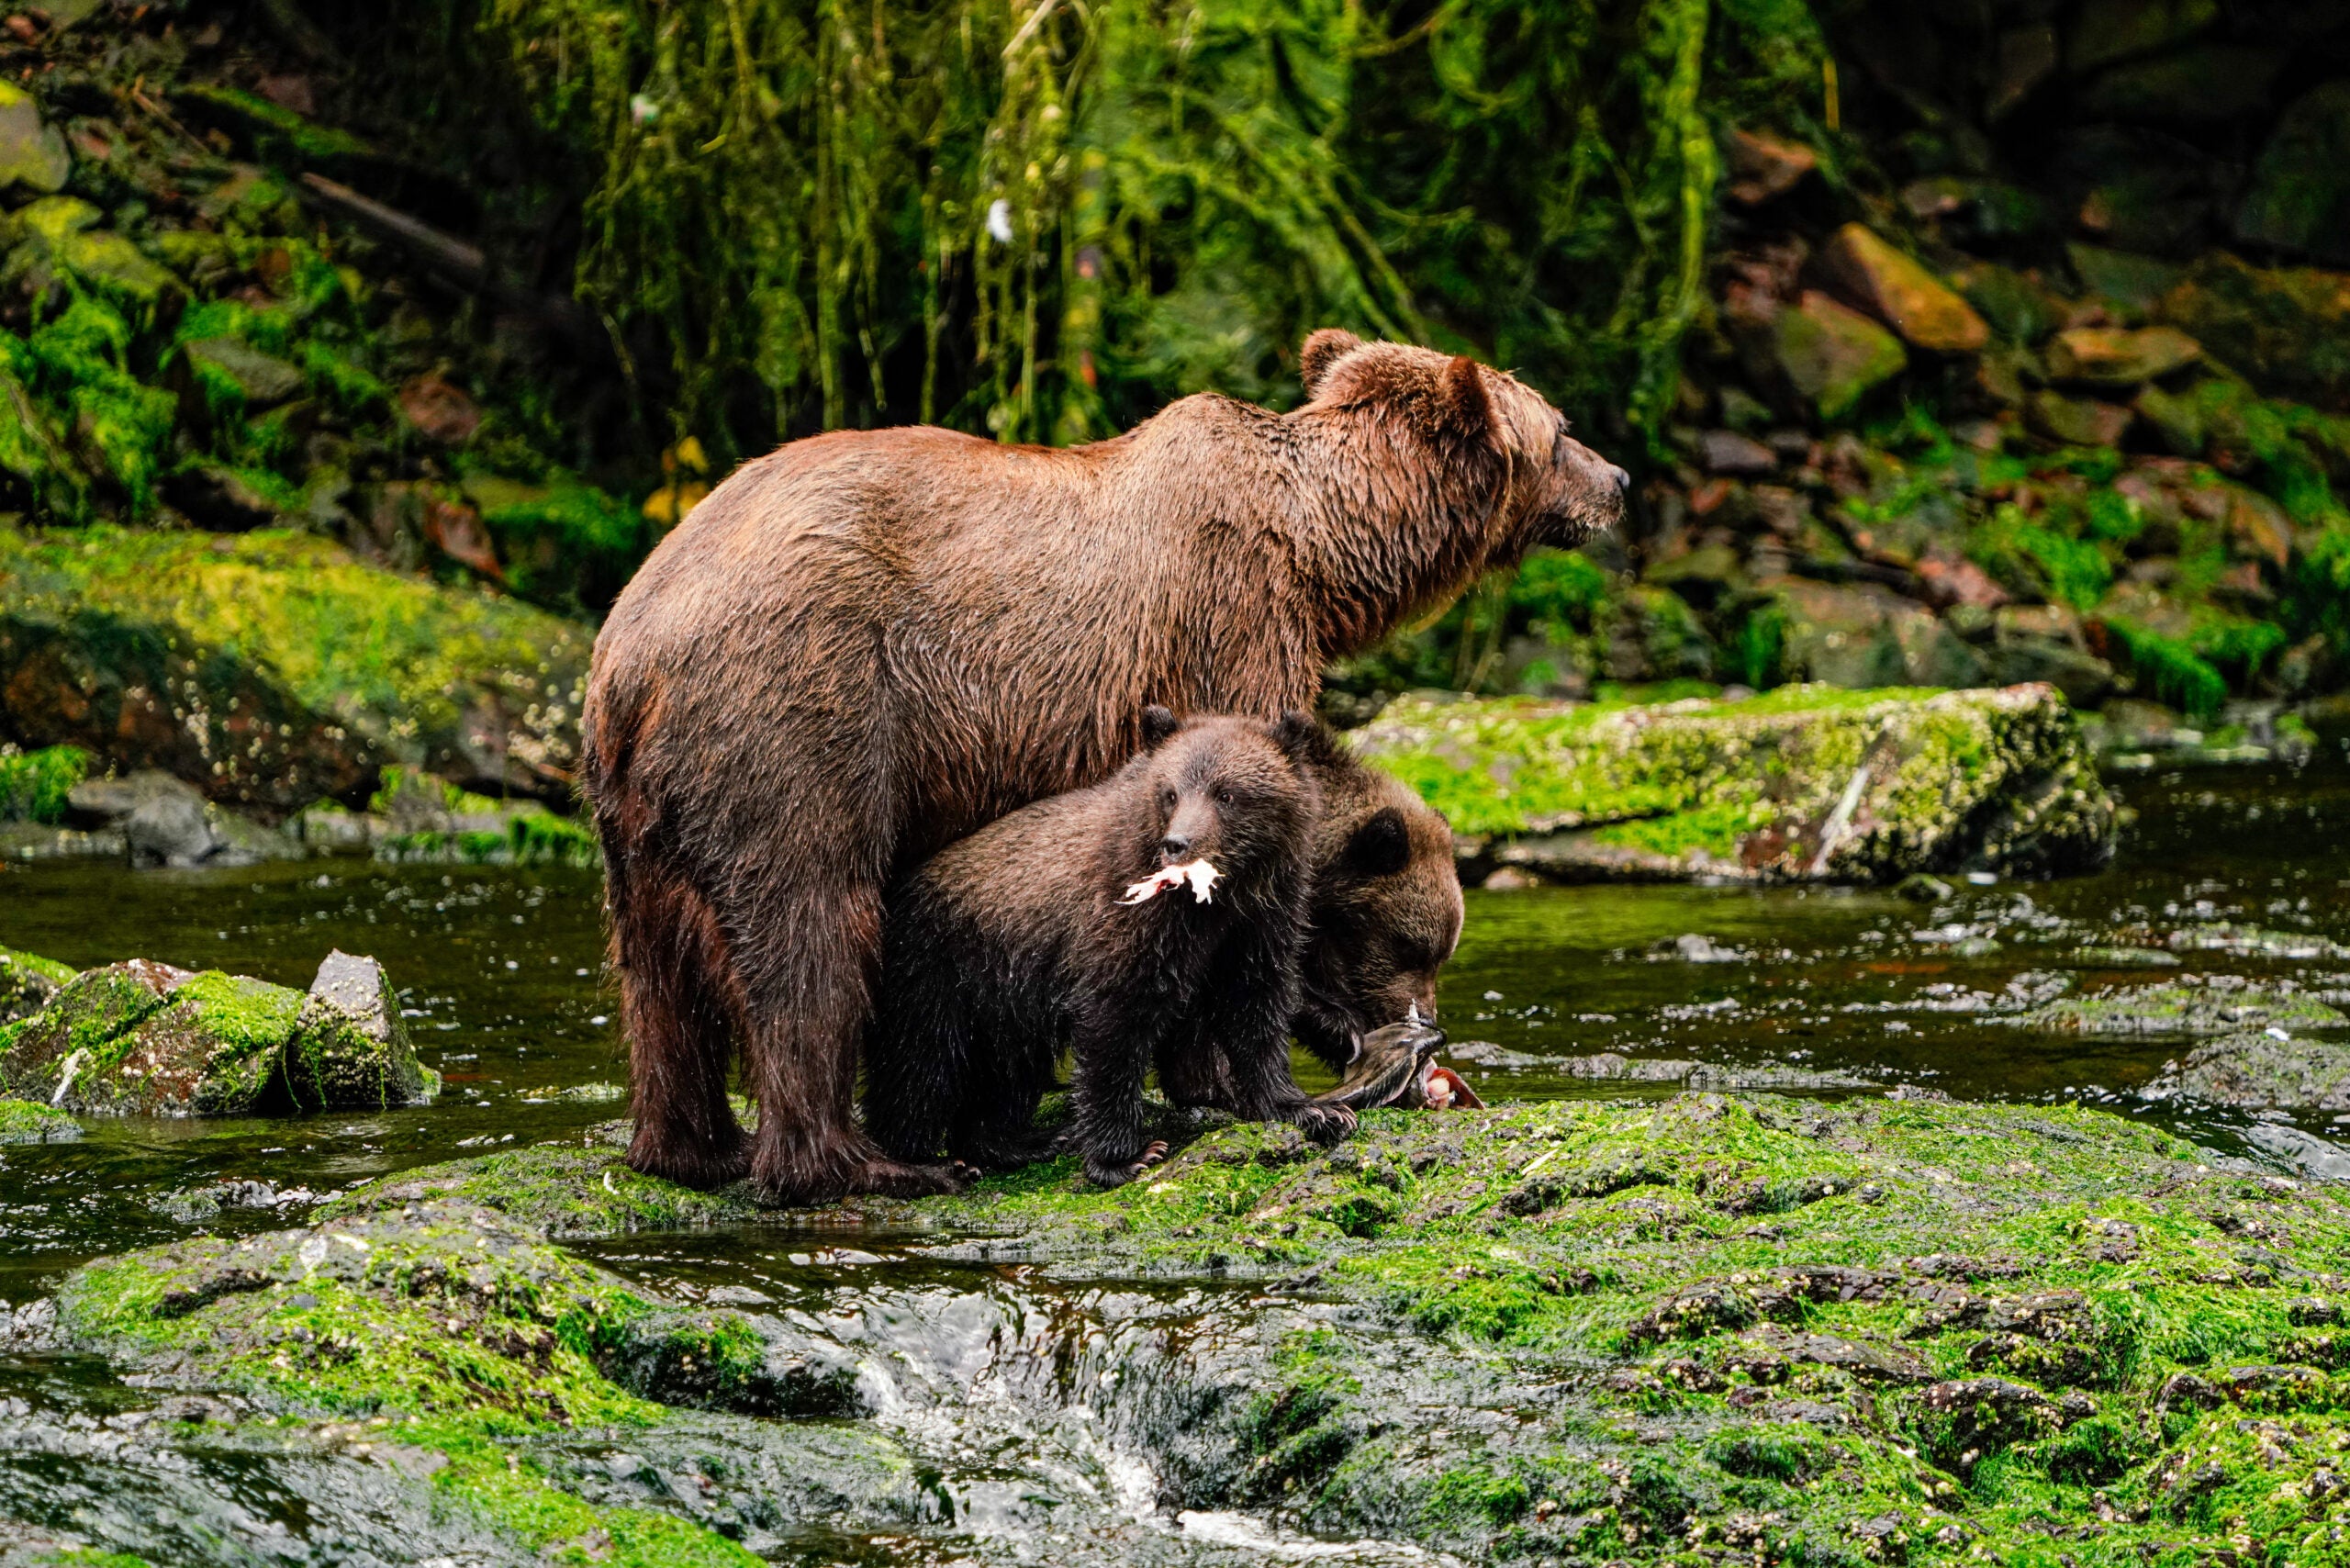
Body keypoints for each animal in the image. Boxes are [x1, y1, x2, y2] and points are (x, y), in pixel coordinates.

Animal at [860, 708, 1350, 1186]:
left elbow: (1257, 1006)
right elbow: (1115, 1024)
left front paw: (1314, 1109)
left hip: (1006, 992)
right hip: (940, 962)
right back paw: (928, 1161)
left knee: (1010, 1068)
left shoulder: (1259, 923)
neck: (1214, 901)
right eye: (1171, 793)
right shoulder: (1125, 921)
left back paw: (1023, 1140)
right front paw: (1126, 1156)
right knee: (920, 1064)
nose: (1178, 844)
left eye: (1227, 794)